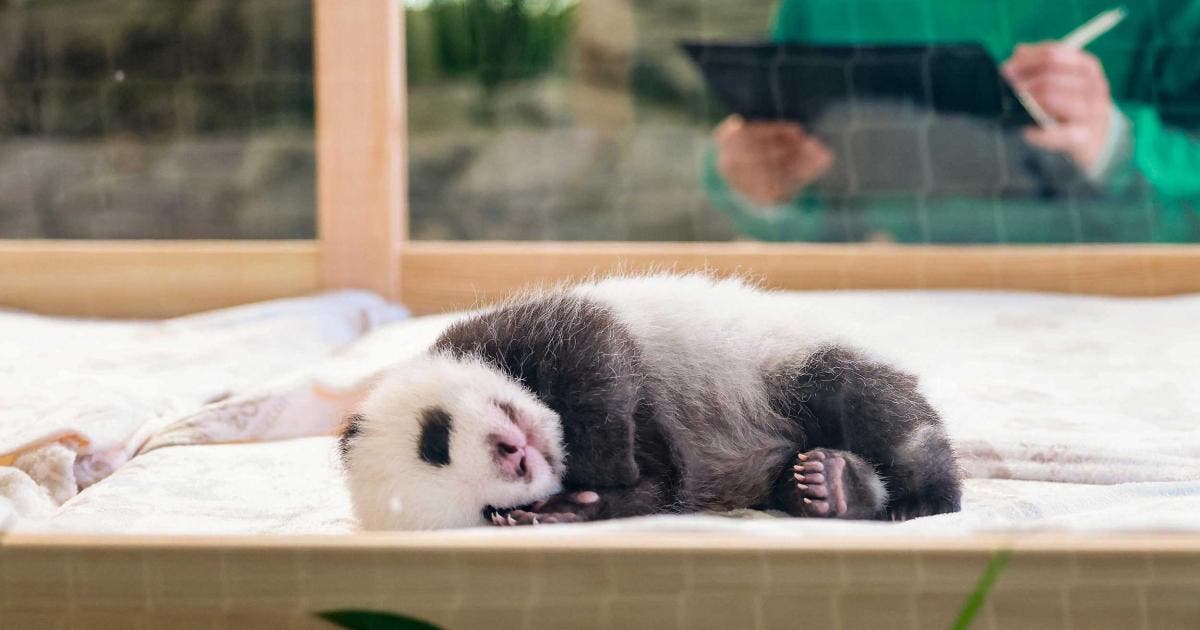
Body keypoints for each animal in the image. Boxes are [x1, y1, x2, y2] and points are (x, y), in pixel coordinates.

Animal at [339, 274, 961, 530]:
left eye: (435, 439)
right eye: (484, 509)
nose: (514, 457)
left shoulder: (515, 330)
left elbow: (597, 354)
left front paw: (607, 460)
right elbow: (660, 487)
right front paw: (565, 508)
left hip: (787, 365)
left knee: (870, 406)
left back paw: (922, 499)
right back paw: (829, 488)